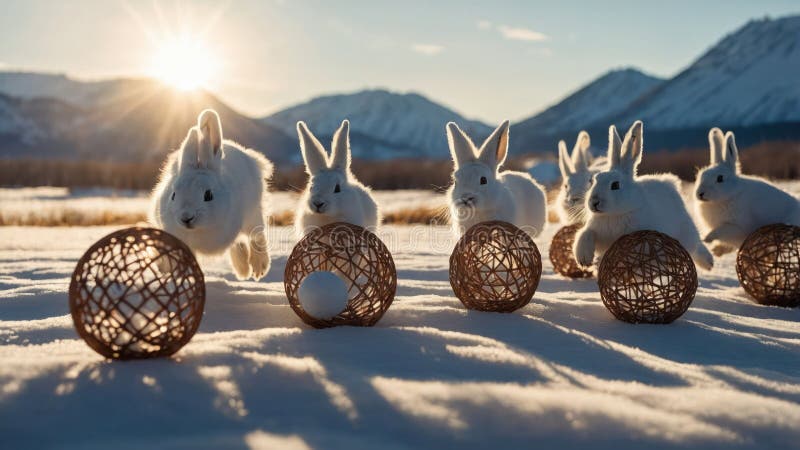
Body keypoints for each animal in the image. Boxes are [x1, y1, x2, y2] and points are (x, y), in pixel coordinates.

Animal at [150, 109, 274, 281]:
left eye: (208, 195)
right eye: (173, 195)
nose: (186, 218)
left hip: (254, 212)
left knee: (255, 235)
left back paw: (256, 268)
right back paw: (243, 271)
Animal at [573, 121, 713, 271]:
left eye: (615, 185)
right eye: (593, 180)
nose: (594, 202)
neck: (614, 215)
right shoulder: (594, 231)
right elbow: (585, 234)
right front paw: (584, 260)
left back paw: (708, 262)